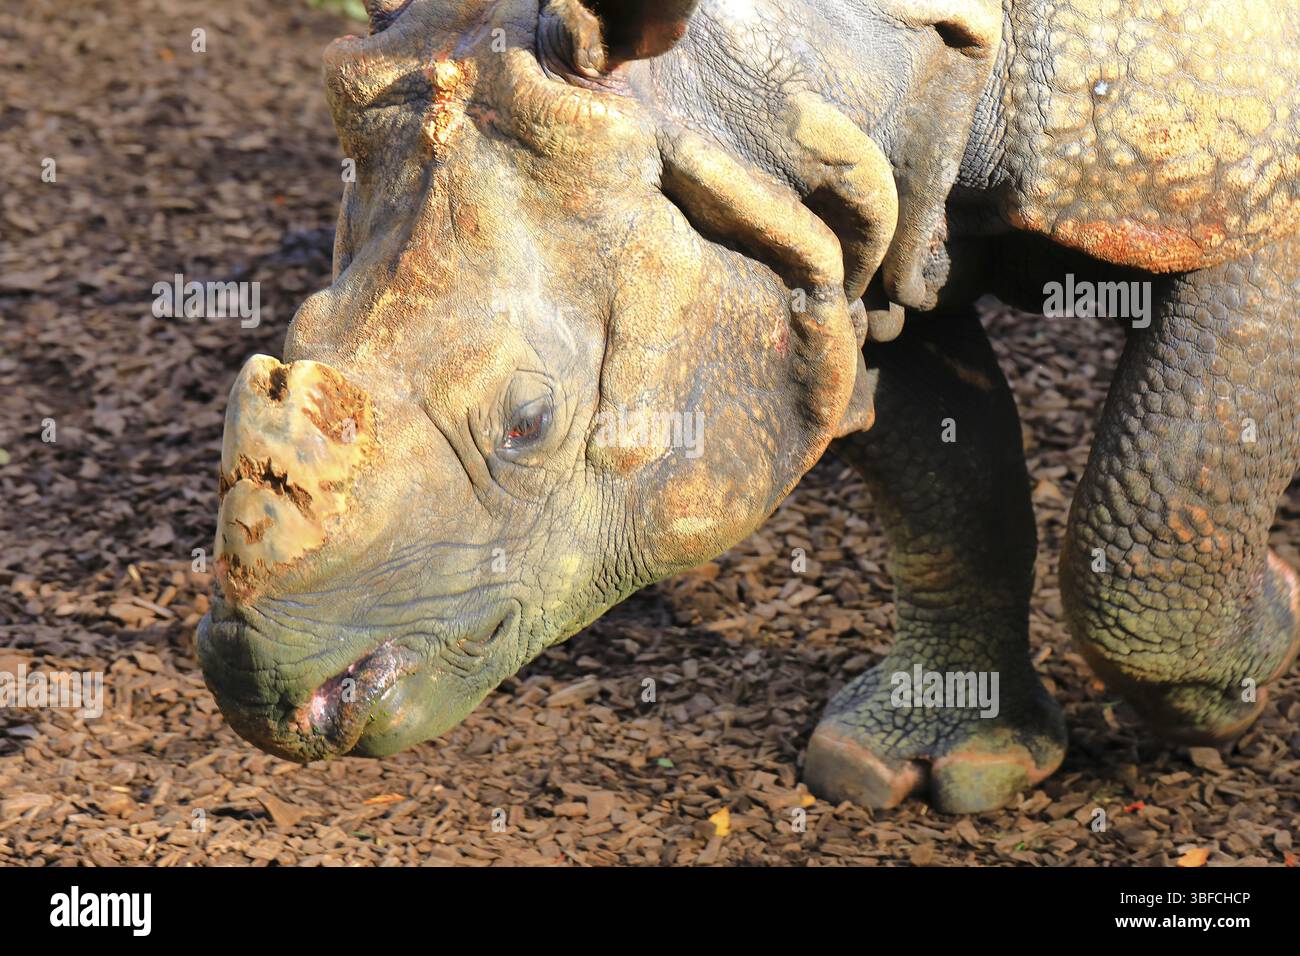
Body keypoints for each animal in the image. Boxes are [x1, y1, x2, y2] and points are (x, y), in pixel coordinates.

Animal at [198, 0, 1300, 813]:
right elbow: (945, 486)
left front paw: (1265, 640)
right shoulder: (835, 222)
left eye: (526, 423)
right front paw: (920, 760)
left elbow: (1155, 514)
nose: (263, 687)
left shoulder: (1253, 191)